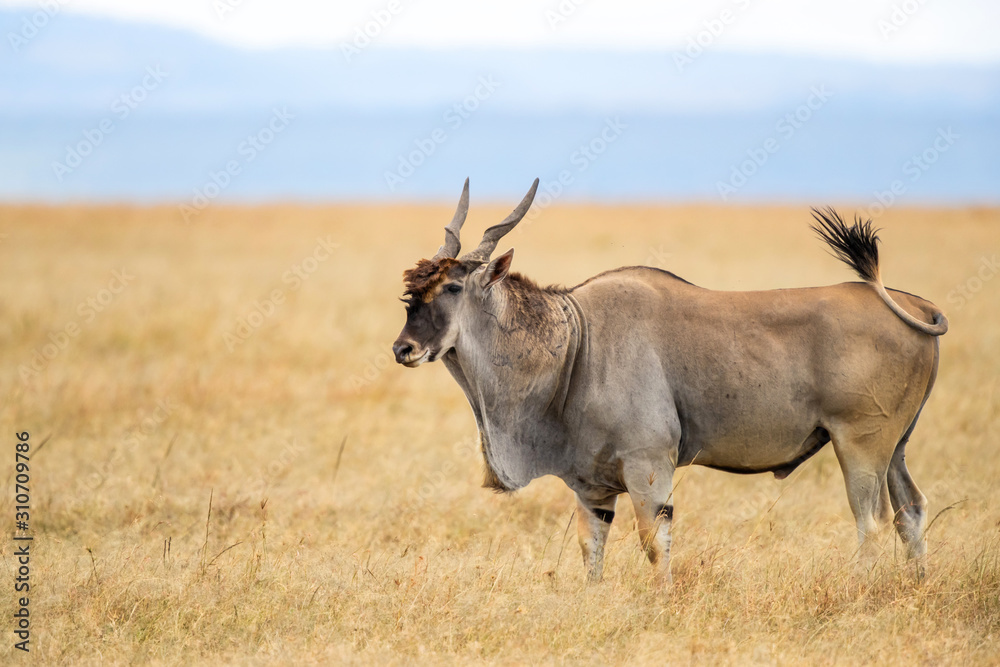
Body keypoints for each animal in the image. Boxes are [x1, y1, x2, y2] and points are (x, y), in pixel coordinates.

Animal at [392, 178, 947, 587]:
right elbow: (591, 549)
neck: (577, 341)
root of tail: (917, 306)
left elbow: (653, 543)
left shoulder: (649, 468)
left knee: (871, 521)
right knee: (911, 511)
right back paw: (916, 589)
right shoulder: (591, 487)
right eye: (410, 293)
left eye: (454, 287)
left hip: (860, 444)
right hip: (895, 447)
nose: (403, 349)